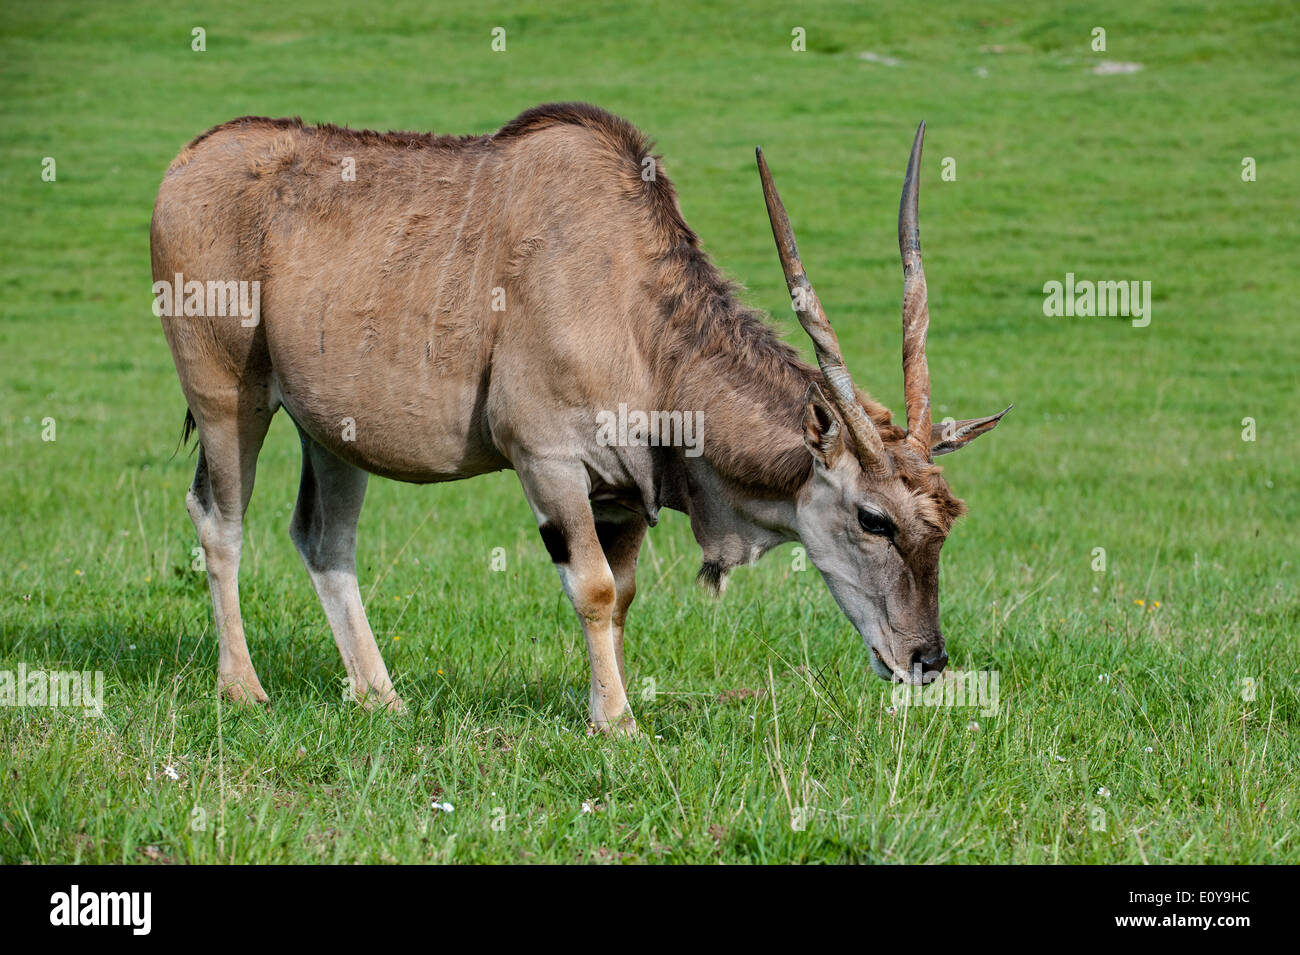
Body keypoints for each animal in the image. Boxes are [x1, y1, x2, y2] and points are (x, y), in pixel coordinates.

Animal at [151, 103, 1009, 734]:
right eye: (873, 518)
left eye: (944, 525)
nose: (926, 658)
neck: (634, 309)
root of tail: (188, 159)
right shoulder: (549, 461)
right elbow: (593, 588)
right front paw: (621, 722)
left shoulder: (620, 492)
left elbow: (620, 595)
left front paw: (604, 708)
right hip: (228, 396)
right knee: (218, 520)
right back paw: (244, 687)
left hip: (334, 436)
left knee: (324, 540)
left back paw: (379, 694)